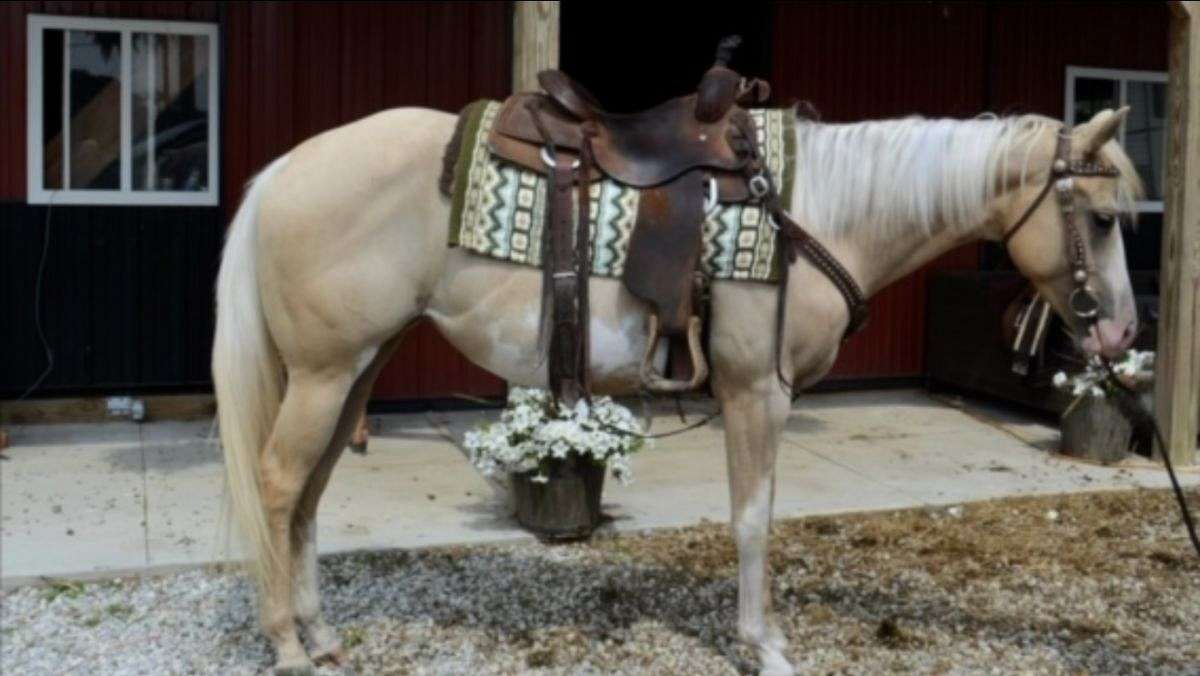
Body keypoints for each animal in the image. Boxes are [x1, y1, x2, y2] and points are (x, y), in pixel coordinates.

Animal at [212, 104, 1142, 674]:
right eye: (1101, 220)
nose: (1122, 337)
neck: (814, 215)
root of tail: (284, 171)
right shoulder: (757, 393)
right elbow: (753, 520)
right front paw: (763, 645)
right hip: (326, 375)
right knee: (279, 485)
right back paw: (287, 647)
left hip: (353, 370)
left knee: (307, 497)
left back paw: (322, 636)